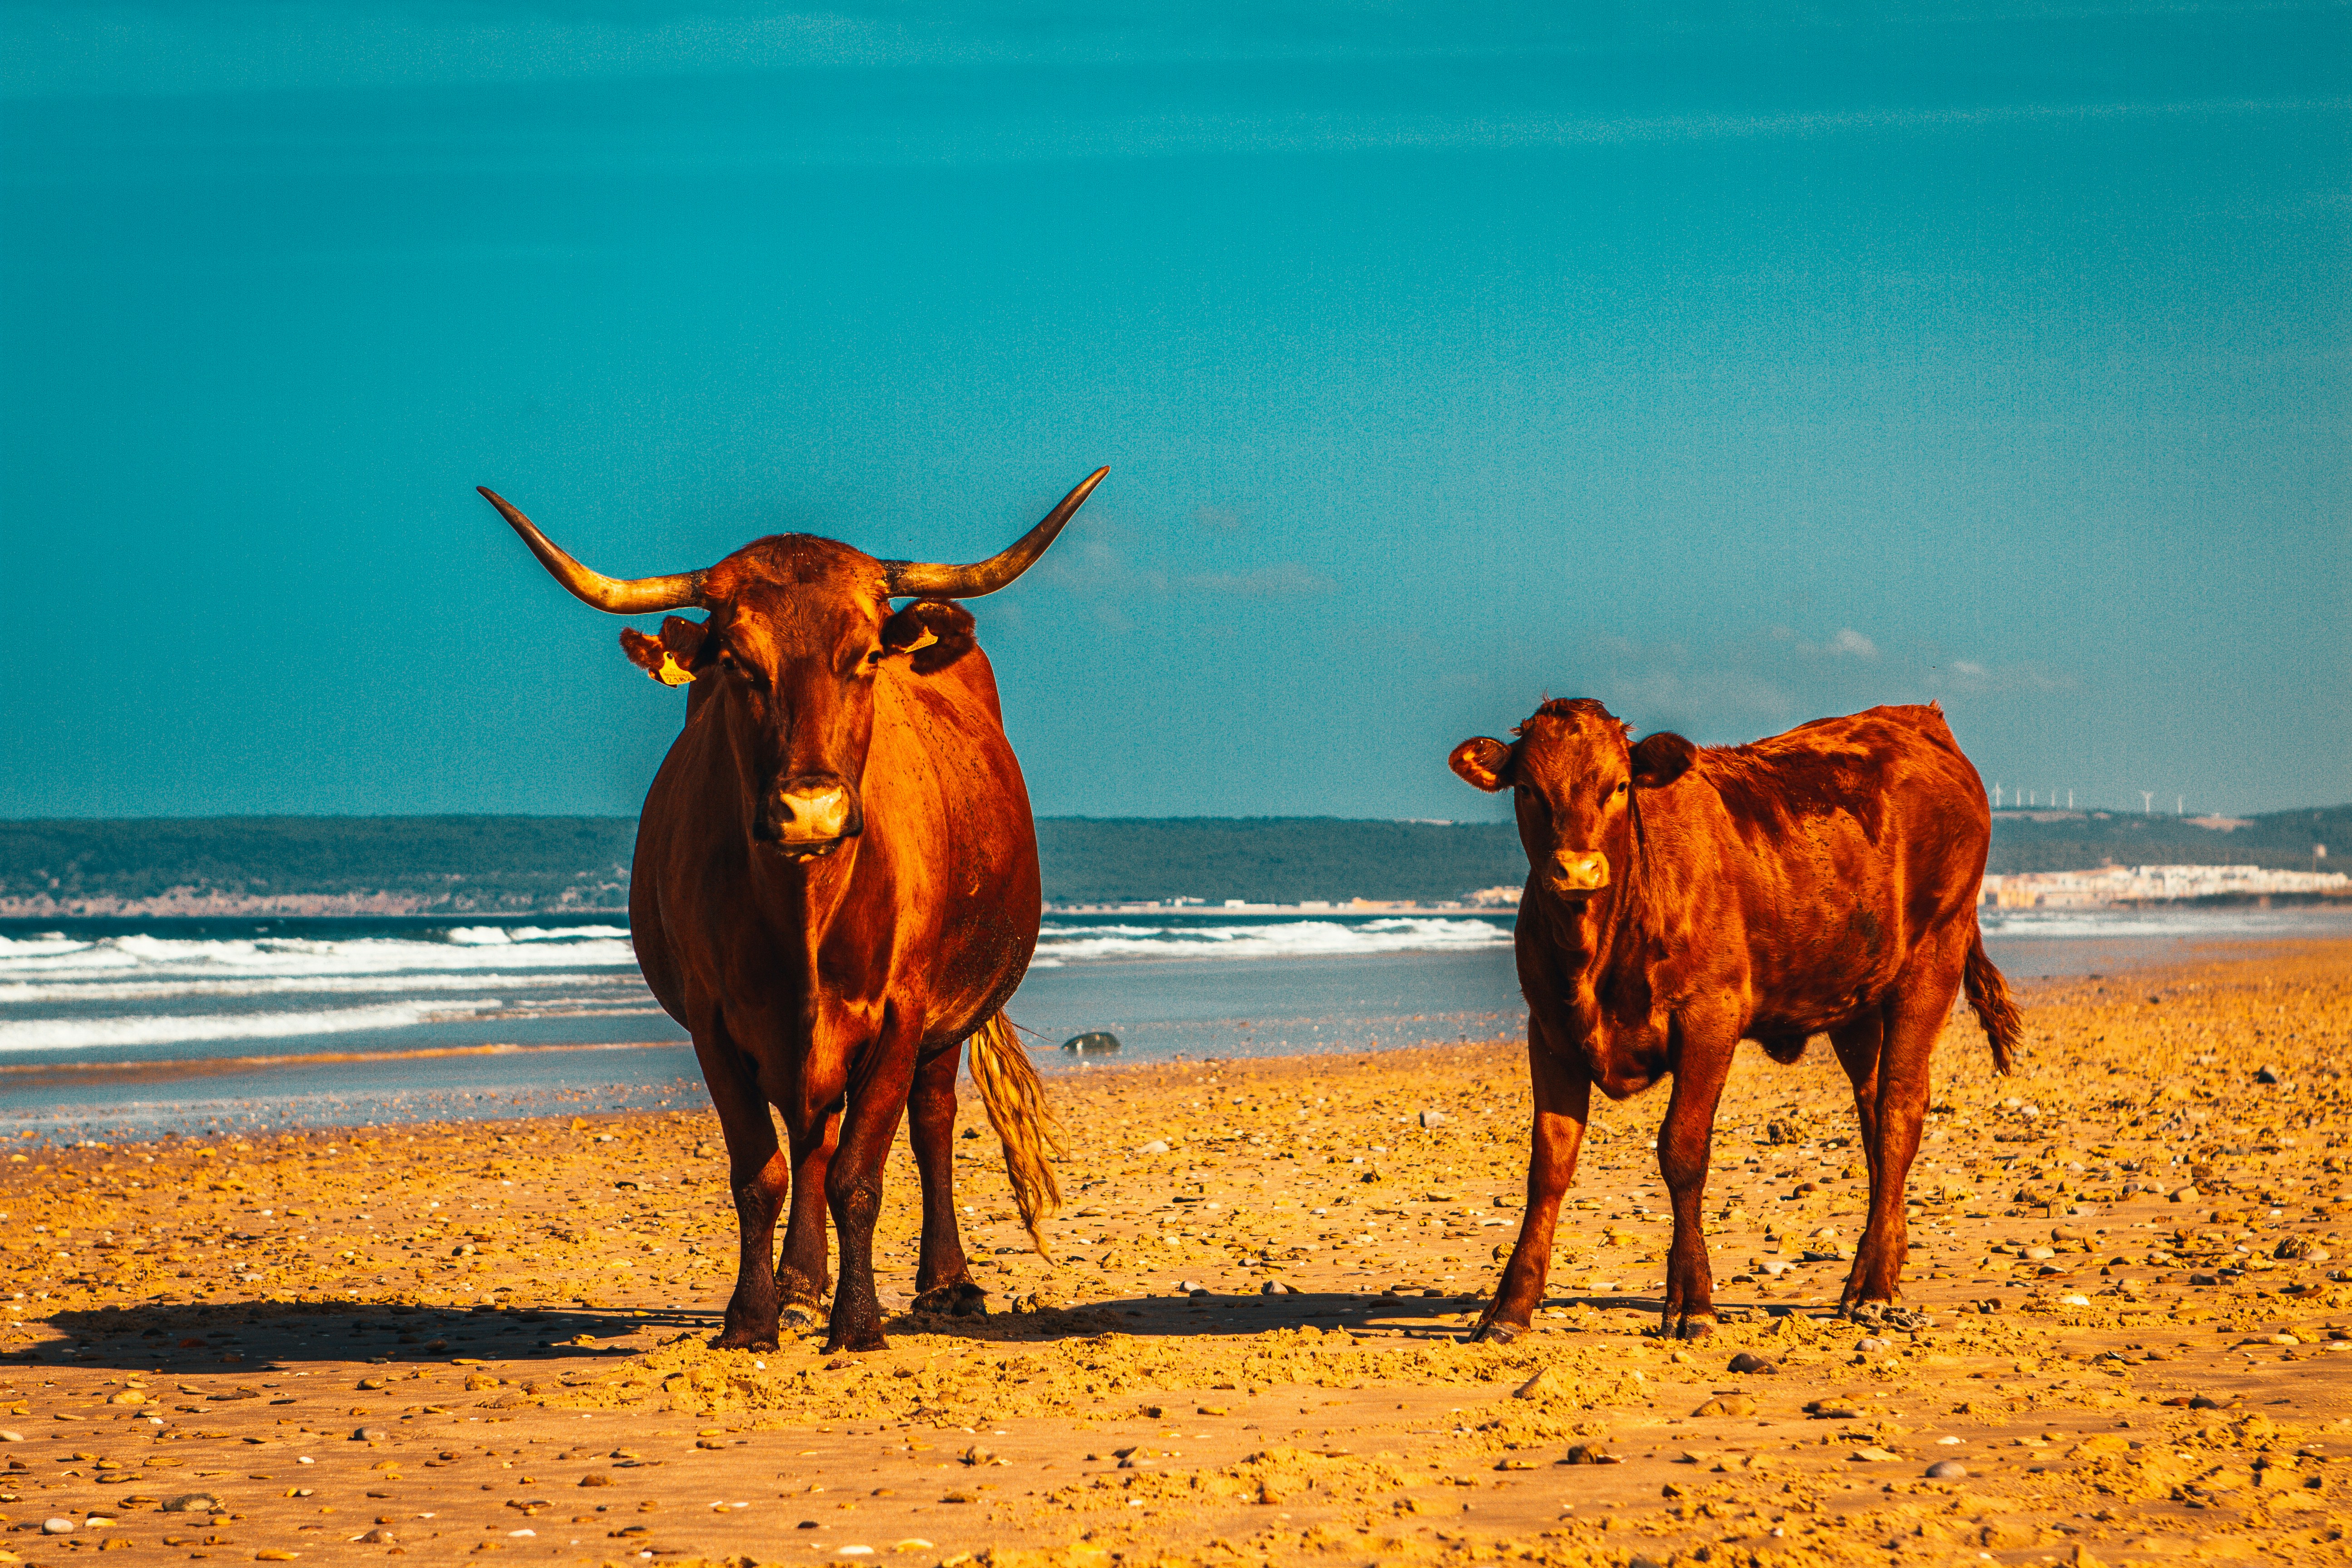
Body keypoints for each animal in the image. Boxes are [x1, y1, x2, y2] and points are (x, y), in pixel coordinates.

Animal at [481, 469, 1106, 1353]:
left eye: (867, 654)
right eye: (739, 662)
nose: (810, 808)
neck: (805, 908)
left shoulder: (901, 1012)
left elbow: (861, 1173)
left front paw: (860, 1322)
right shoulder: (715, 1020)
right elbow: (762, 1172)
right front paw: (754, 1316)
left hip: (946, 1017)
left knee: (932, 1122)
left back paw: (943, 1283)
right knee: (812, 1136)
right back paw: (801, 1283)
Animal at [1447, 699, 2022, 1341]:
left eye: (1619, 786)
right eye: (1527, 788)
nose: (1577, 870)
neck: (1595, 953)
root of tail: (1914, 718)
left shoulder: (1709, 1018)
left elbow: (1682, 1151)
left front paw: (1693, 1301)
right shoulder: (1548, 1030)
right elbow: (1548, 1164)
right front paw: (1511, 1307)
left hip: (1934, 959)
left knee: (1901, 1110)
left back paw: (1874, 1290)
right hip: (1856, 999)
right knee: (1875, 1114)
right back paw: (1871, 1277)